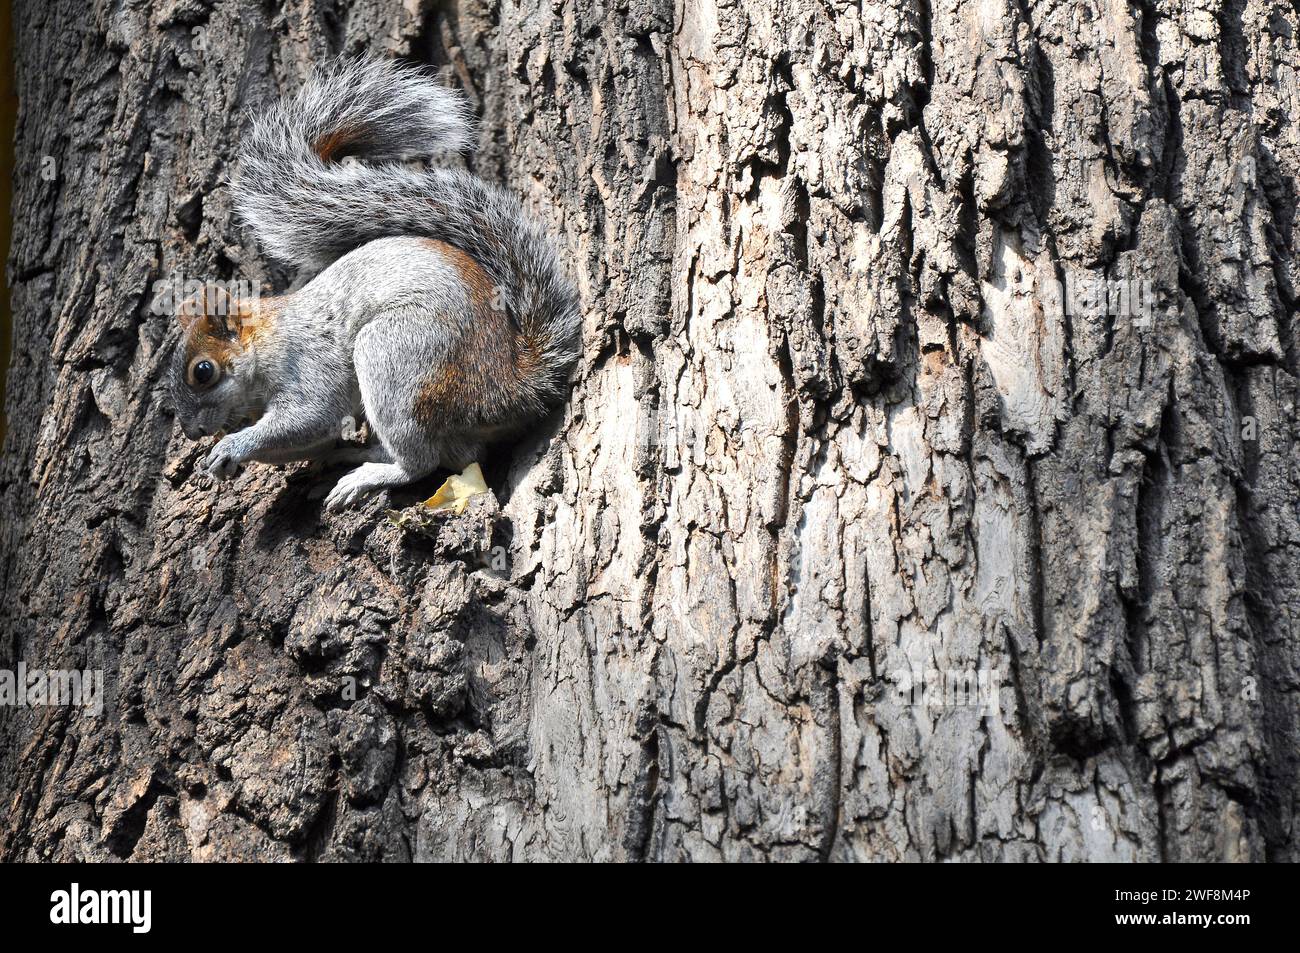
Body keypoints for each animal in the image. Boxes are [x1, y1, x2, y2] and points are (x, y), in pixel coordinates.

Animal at [169, 56, 581, 510]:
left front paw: (233, 446)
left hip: (396, 354)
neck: (267, 337)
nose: (190, 432)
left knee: (421, 461)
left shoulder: (305, 362)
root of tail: (508, 390)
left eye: (203, 371)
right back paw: (359, 454)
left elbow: (311, 416)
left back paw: (368, 476)